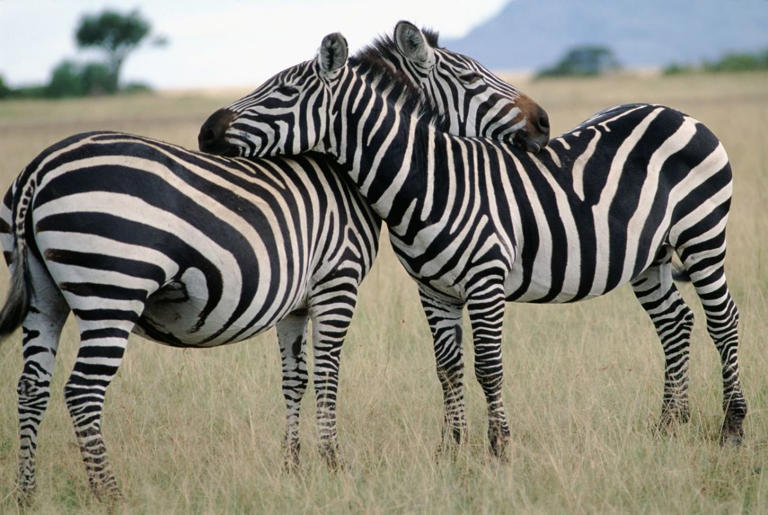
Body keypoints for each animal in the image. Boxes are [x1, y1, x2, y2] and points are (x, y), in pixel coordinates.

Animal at [0, 25, 547, 501]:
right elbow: (328, 373)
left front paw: (294, 468)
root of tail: (38, 168)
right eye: (473, 78)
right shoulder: (337, 281)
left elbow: (295, 379)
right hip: (111, 289)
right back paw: (111, 495)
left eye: (281, 87)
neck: (345, 172)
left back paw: (27, 493)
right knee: (82, 392)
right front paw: (334, 466)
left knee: (32, 388)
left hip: (45, 296)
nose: (543, 123)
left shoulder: (296, 301)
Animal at [201, 33, 746, 458]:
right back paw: (668, 426)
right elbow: (448, 368)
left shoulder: (486, 282)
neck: (429, 178)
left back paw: (732, 428)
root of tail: (675, 111)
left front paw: (499, 446)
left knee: (723, 320)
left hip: (702, 234)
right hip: (648, 258)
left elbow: (488, 368)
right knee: (674, 323)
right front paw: (452, 448)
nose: (207, 131)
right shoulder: (433, 290)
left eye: (284, 90)